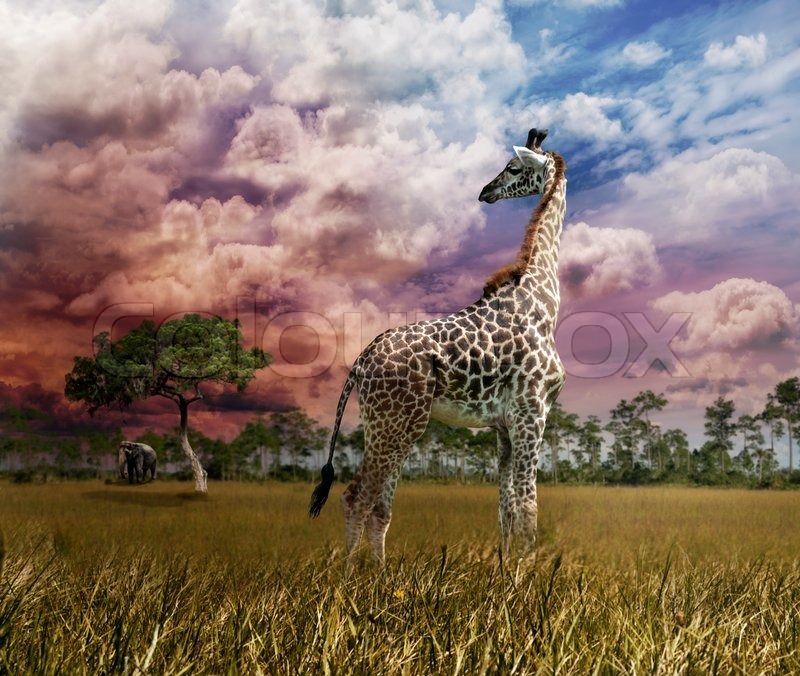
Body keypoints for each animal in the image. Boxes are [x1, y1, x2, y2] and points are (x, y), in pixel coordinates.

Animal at [310, 128, 567, 565]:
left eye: (513, 168)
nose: (485, 192)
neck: (542, 297)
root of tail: (360, 362)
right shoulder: (532, 411)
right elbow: (528, 508)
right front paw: (528, 578)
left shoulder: (504, 423)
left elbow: (507, 510)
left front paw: (506, 572)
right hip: (399, 423)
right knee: (356, 497)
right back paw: (349, 579)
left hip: (384, 425)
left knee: (380, 506)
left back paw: (378, 575)